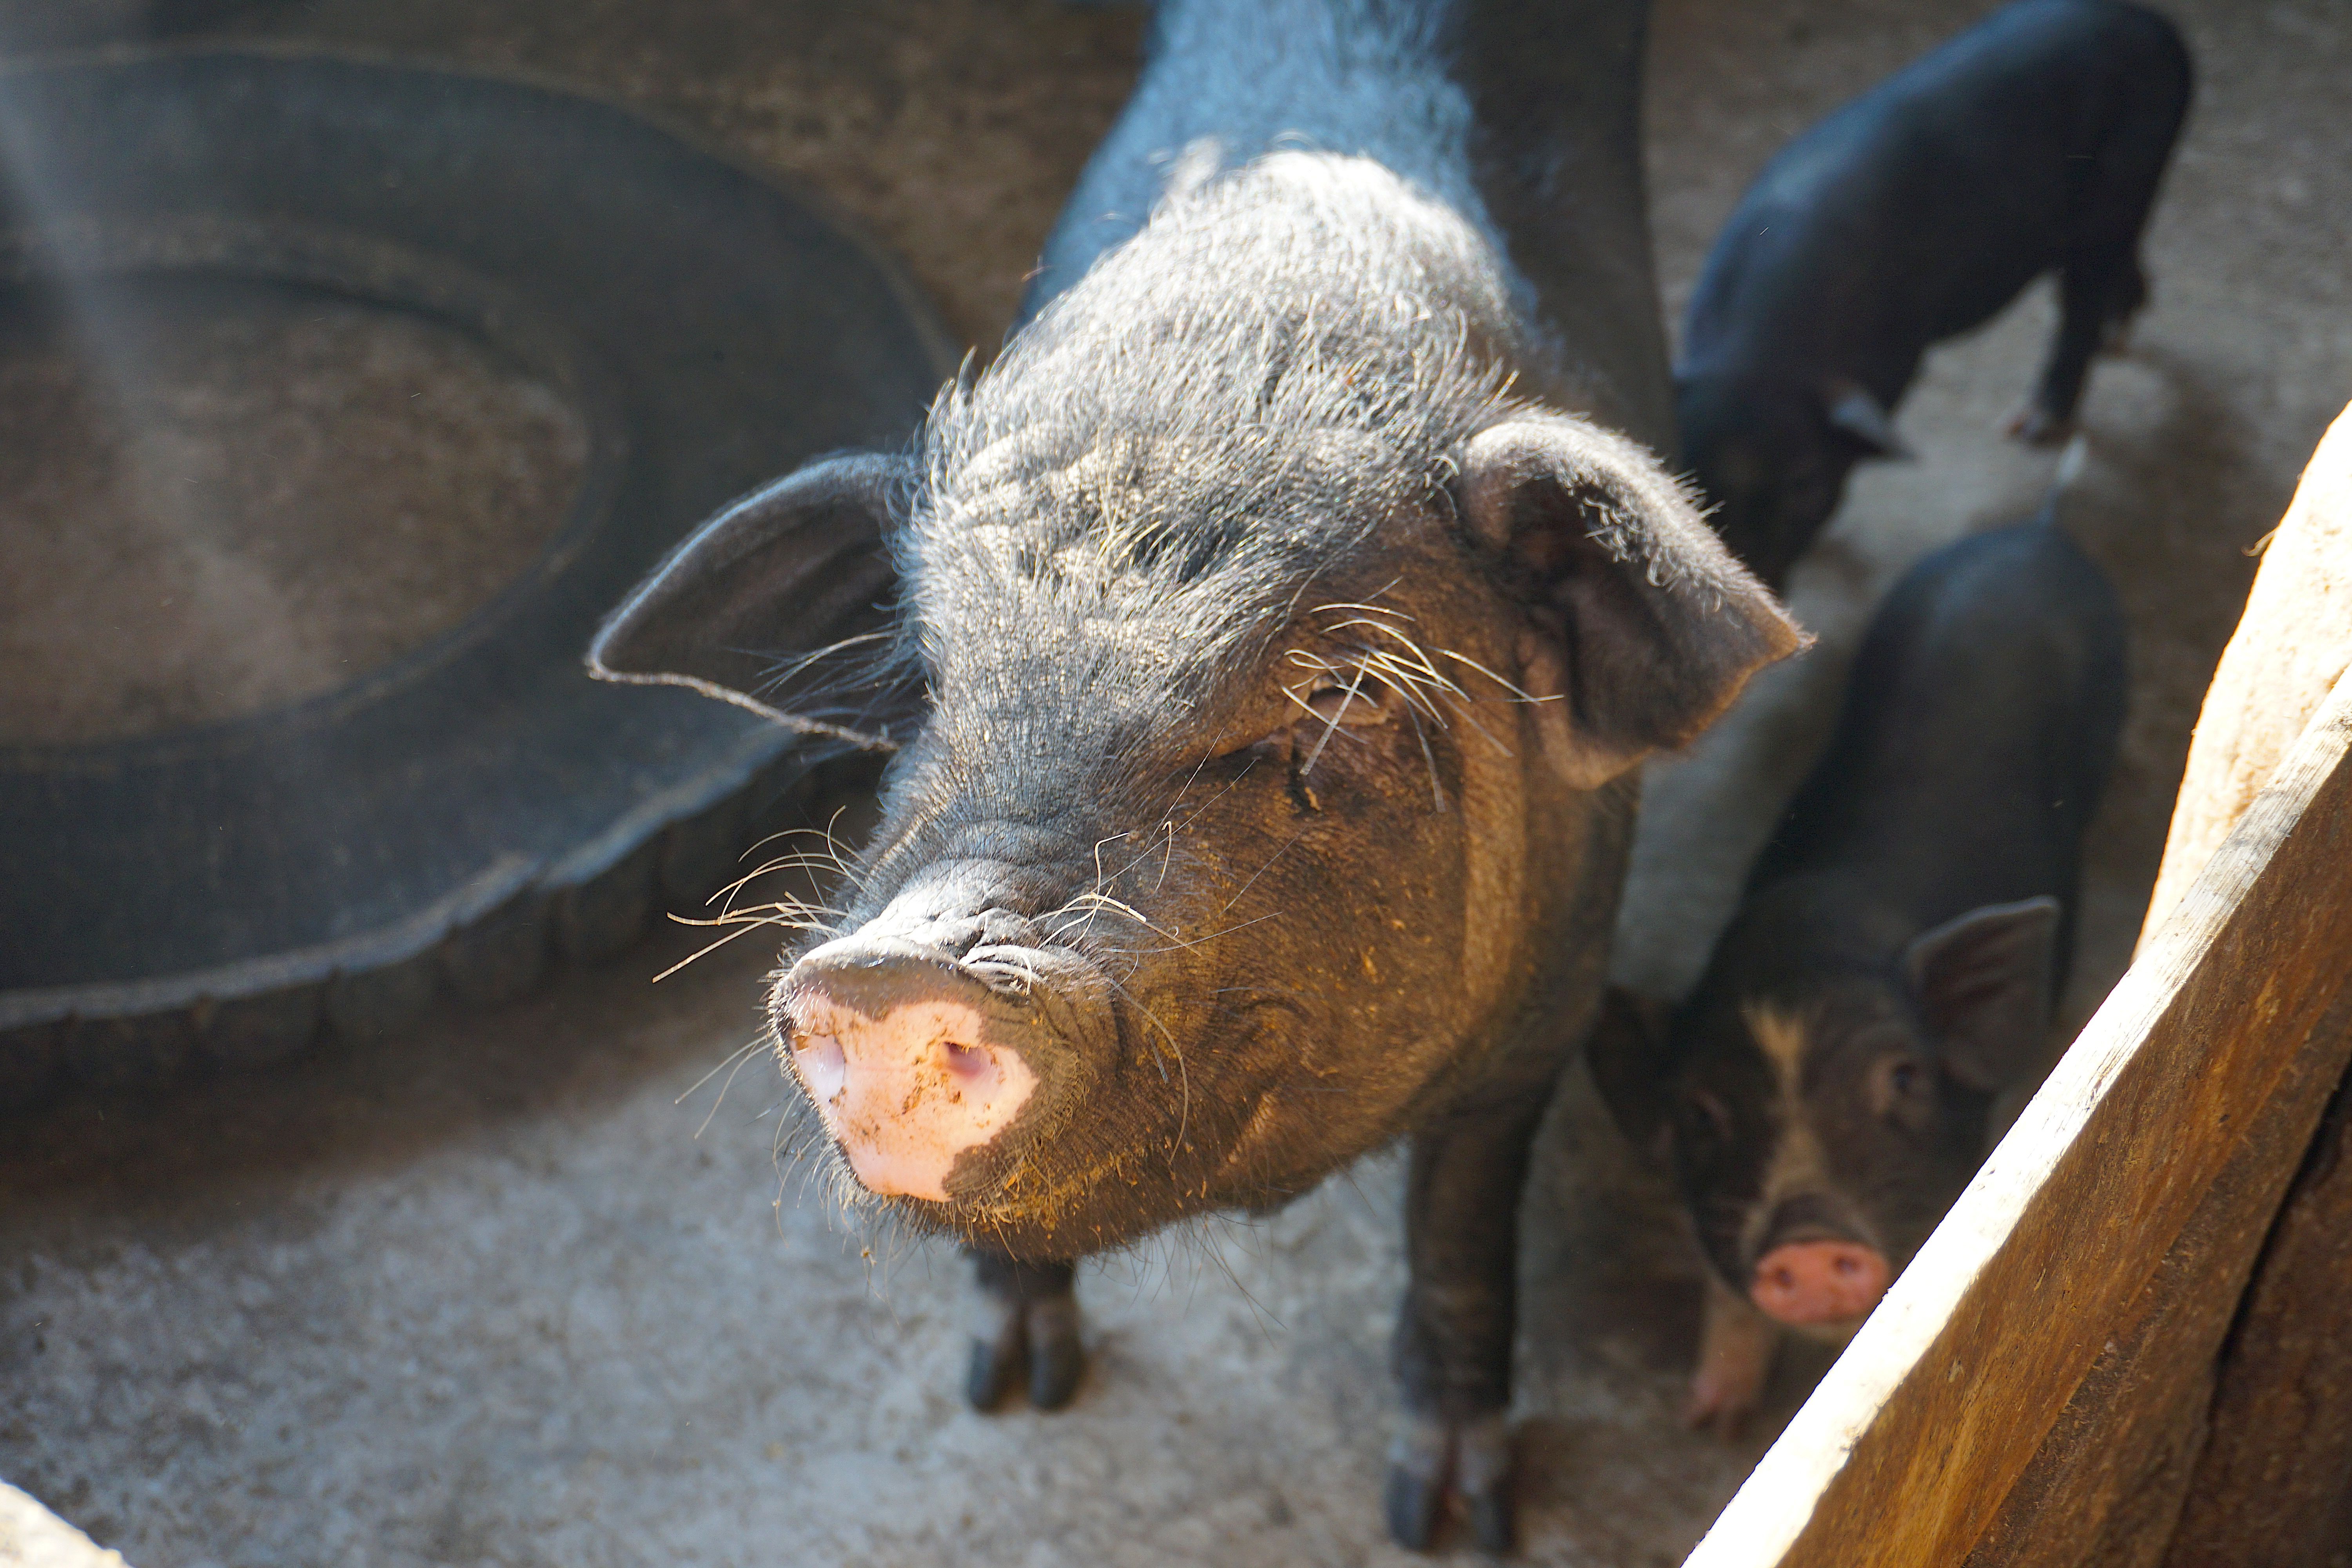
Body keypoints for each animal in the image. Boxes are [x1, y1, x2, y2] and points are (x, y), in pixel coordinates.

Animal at [588, 0, 1803, 1549]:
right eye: (923, 681)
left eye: (1343, 698)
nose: (887, 973)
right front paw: (1010, 1388)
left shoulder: (1549, 1012)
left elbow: (1457, 1230)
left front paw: (1446, 1517)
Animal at [1588, 510, 2126, 1433]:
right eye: (1700, 1114)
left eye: (1904, 1077)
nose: (1807, 1241)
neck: (1811, 951)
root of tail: (2034, 530)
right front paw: (1713, 1418)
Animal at [1675, 0, 2191, 587]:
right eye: (1692, 479)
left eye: (1803, 483)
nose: (1753, 584)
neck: (1763, 355)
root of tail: (2158, 27)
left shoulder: (1899, 354)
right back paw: (2116, 338)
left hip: (2128, 182)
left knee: (2081, 302)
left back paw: (2030, 425)